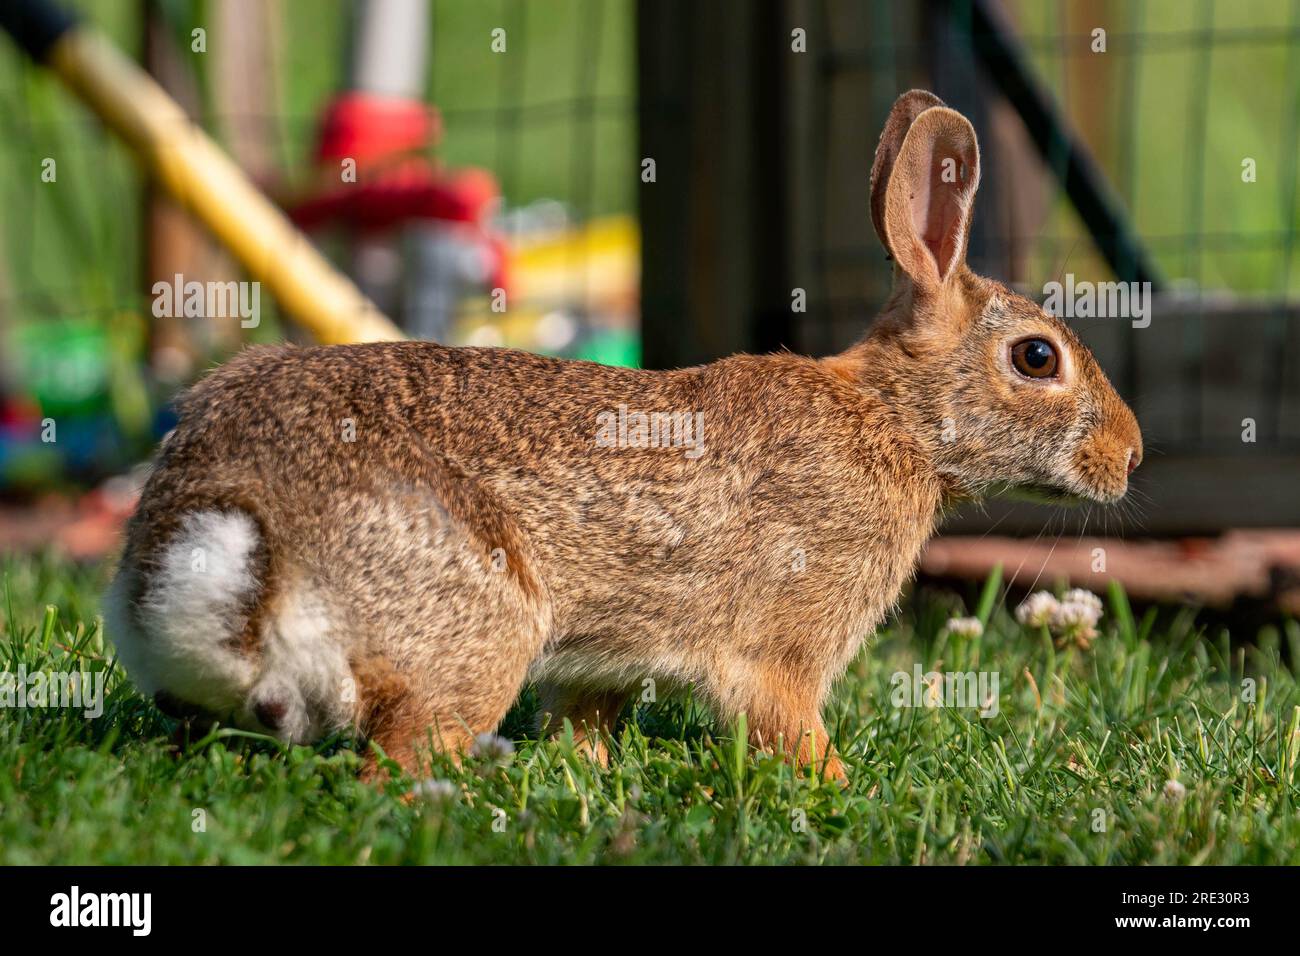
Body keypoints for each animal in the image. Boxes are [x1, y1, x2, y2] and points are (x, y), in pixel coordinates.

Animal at [105, 90, 1141, 781]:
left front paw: (591, 776)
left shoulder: (598, 664)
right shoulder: (778, 648)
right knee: (401, 762)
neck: (897, 421)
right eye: (1038, 358)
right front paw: (839, 785)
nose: (1130, 456)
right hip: (477, 627)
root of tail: (222, 527)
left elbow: (587, 715)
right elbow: (787, 720)